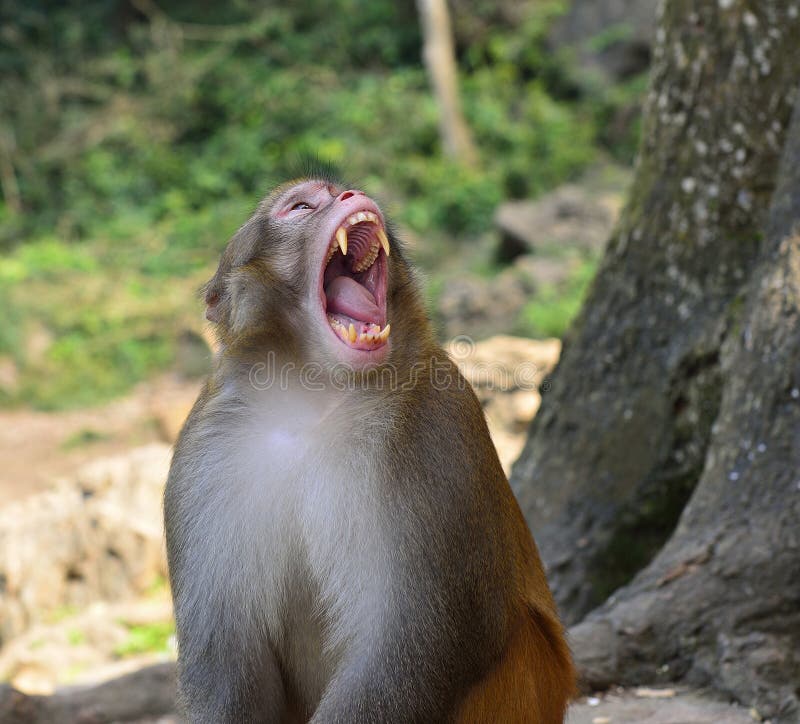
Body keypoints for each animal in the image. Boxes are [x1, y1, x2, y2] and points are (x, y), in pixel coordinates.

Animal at [164, 171, 575, 724]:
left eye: (339, 190)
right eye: (300, 207)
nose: (348, 196)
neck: (312, 399)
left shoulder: (435, 429)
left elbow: (417, 643)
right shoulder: (205, 455)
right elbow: (227, 662)